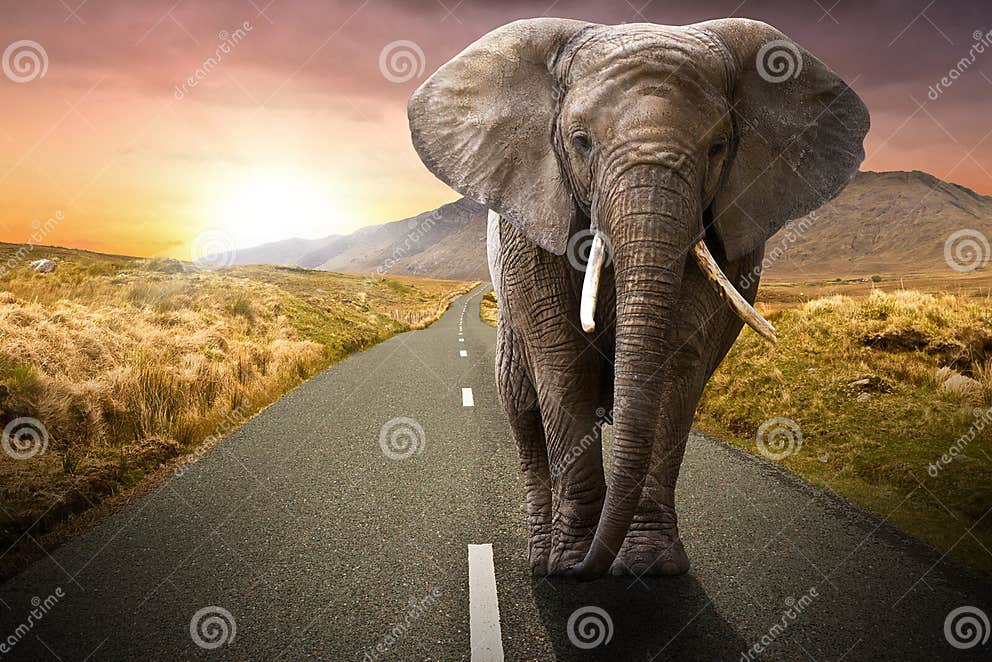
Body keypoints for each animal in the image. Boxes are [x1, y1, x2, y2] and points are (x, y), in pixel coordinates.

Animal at [408, 17, 868, 580]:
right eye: (580, 141)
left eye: (718, 148)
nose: (590, 568)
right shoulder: (529, 225)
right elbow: (561, 362)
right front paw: (571, 563)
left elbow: (679, 362)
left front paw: (650, 566)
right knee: (520, 405)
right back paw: (542, 557)